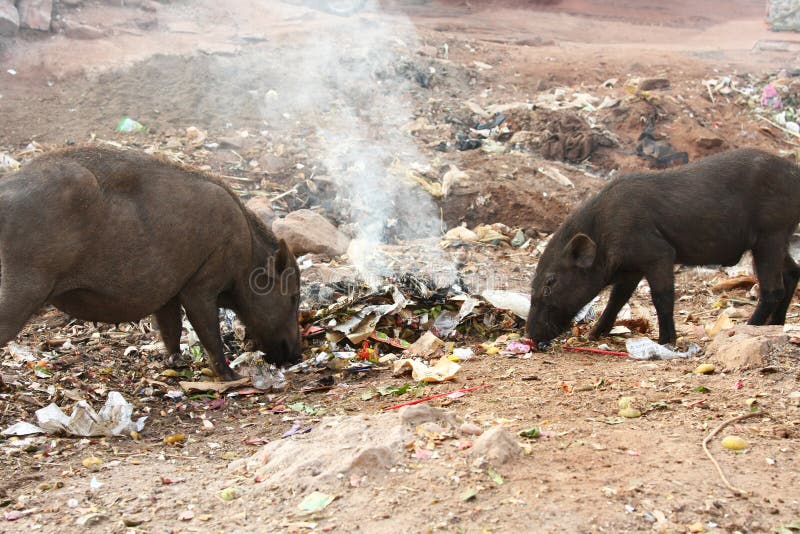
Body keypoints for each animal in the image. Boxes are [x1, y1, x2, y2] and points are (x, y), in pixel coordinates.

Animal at [0, 146, 302, 381]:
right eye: (294, 297)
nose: (298, 355)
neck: (247, 254)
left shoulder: (168, 293)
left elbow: (171, 329)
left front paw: (175, 364)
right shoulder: (201, 286)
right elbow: (208, 332)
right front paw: (233, 377)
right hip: (22, 289)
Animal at [526, 148, 800, 347]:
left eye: (550, 283)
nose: (529, 335)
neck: (604, 231)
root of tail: (795, 172)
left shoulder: (658, 254)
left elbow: (662, 296)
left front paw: (665, 341)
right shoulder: (632, 268)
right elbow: (617, 299)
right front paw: (593, 334)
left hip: (770, 236)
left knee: (773, 288)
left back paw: (751, 326)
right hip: (777, 239)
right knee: (792, 272)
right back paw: (775, 324)